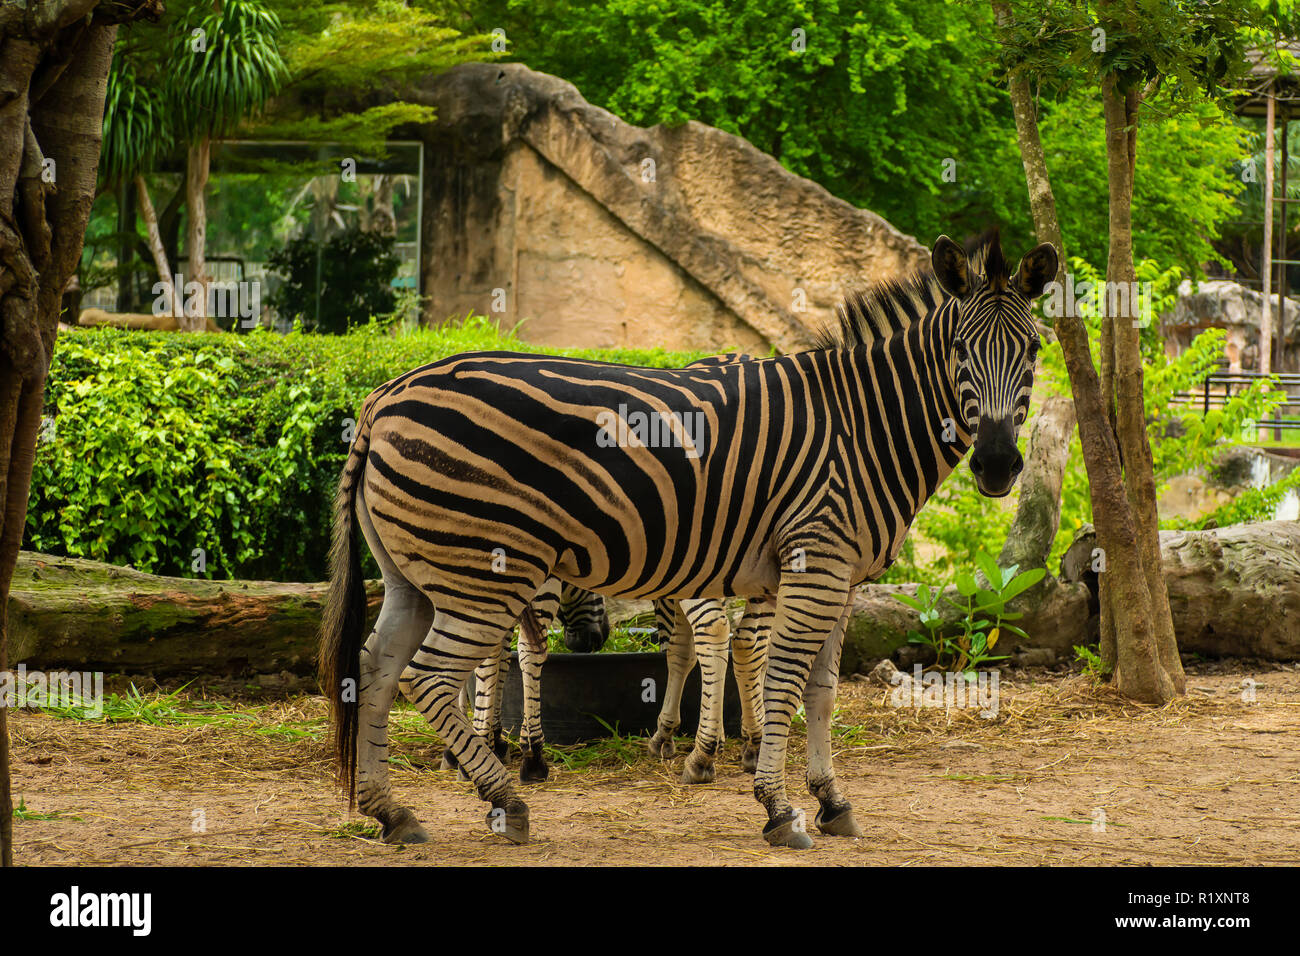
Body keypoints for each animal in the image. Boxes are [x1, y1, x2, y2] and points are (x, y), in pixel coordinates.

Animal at [320, 231, 1057, 848]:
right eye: (959, 352)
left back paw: (392, 812)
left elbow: (821, 690)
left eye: (1033, 352)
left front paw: (832, 801)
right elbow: (784, 680)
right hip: (485, 569)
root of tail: (382, 397)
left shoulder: (841, 575)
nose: (997, 466)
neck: (861, 426)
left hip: (414, 574)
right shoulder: (814, 562)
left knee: (377, 666)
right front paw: (778, 808)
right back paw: (505, 799)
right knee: (429, 674)